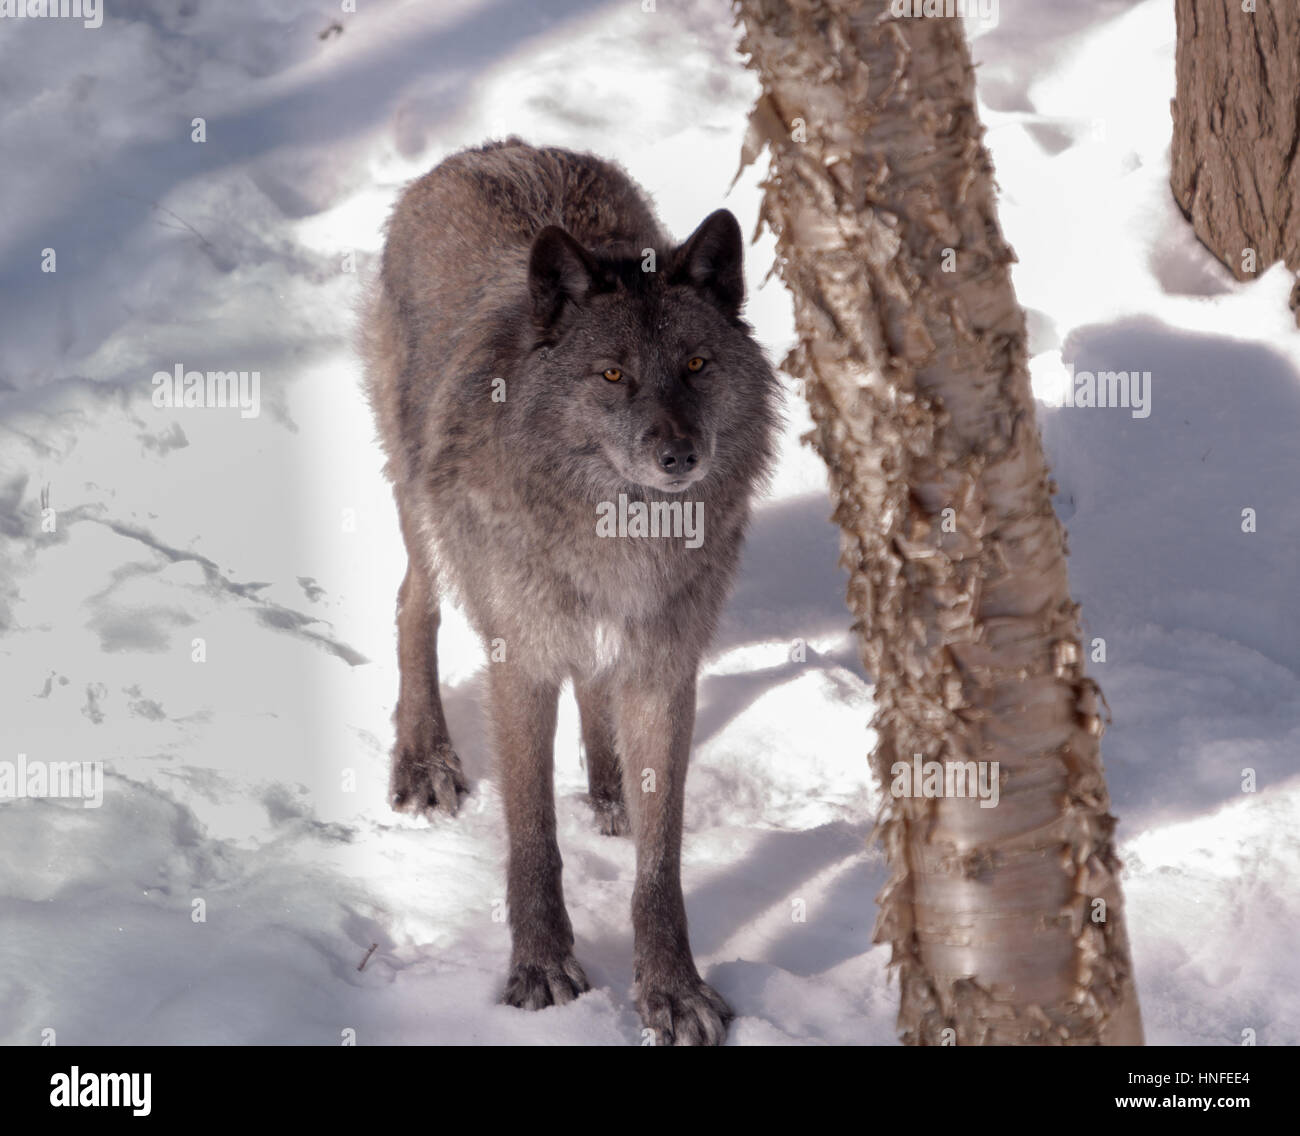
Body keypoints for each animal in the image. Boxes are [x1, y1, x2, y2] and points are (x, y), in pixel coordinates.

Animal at [362, 139, 780, 1045]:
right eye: (613, 374)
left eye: (696, 365)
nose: (679, 457)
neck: (618, 536)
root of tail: (485, 151)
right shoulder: (520, 663)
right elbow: (533, 838)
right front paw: (542, 972)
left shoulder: (664, 667)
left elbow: (663, 862)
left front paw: (673, 991)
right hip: (423, 512)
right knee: (412, 601)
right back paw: (425, 760)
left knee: (593, 686)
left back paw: (609, 789)